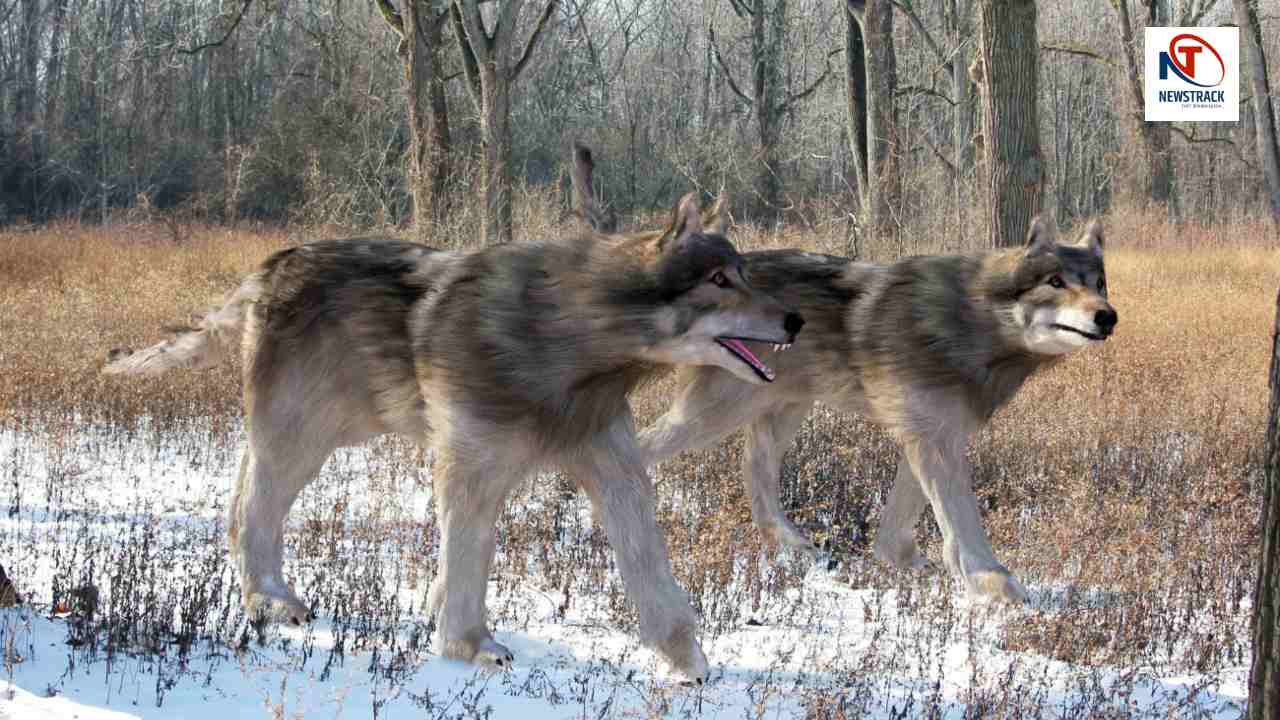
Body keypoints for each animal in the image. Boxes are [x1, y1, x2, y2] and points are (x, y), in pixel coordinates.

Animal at [103, 173, 805, 681]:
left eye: (746, 273)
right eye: (719, 280)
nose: (797, 319)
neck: (569, 341)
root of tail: (267, 268)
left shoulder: (617, 473)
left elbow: (649, 569)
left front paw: (687, 661)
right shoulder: (468, 472)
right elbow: (470, 561)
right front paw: (469, 646)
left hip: (319, 438)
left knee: (244, 500)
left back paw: (272, 593)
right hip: (300, 442)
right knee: (254, 509)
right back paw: (267, 603)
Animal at [635, 219, 1117, 604]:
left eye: (1099, 283)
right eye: (1056, 282)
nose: (1108, 317)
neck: (969, 324)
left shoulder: (931, 436)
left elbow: (900, 526)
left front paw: (906, 567)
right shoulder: (933, 441)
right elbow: (963, 523)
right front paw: (996, 586)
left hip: (783, 410)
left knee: (755, 473)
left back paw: (799, 549)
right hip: (715, 415)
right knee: (640, 447)